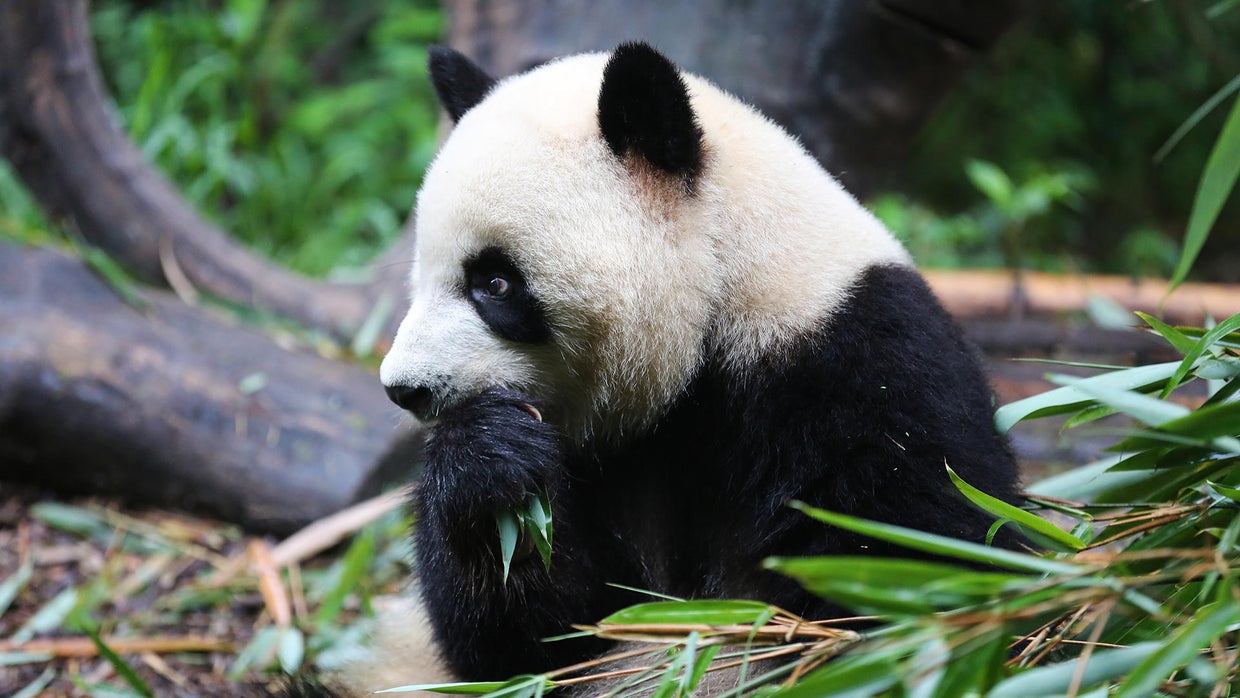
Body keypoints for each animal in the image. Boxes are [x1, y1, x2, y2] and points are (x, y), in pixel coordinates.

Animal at [363, 41, 1022, 692]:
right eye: (420, 277)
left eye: (494, 282)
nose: (405, 390)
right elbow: (535, 644)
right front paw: (486, 460)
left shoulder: (864, 369)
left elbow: (911, 566)